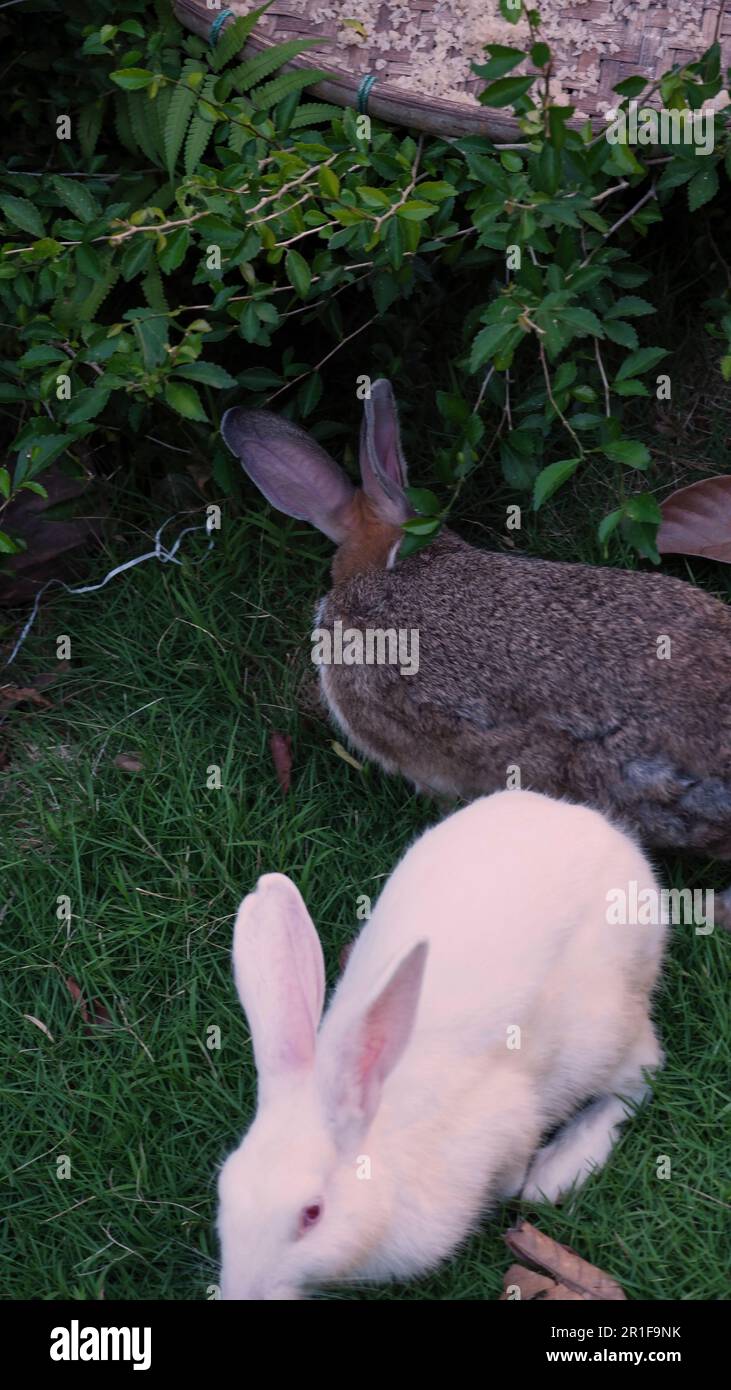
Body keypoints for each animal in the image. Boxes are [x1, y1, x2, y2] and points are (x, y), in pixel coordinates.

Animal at [216, 789, 667, 1300]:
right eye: (225, 1188)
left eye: (312, 1213)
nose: (241, 1292)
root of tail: (619, 844)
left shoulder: (506, 1126)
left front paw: (519, 1187)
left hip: (604, 1028)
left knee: (639, 1078)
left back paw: (557, 1170)